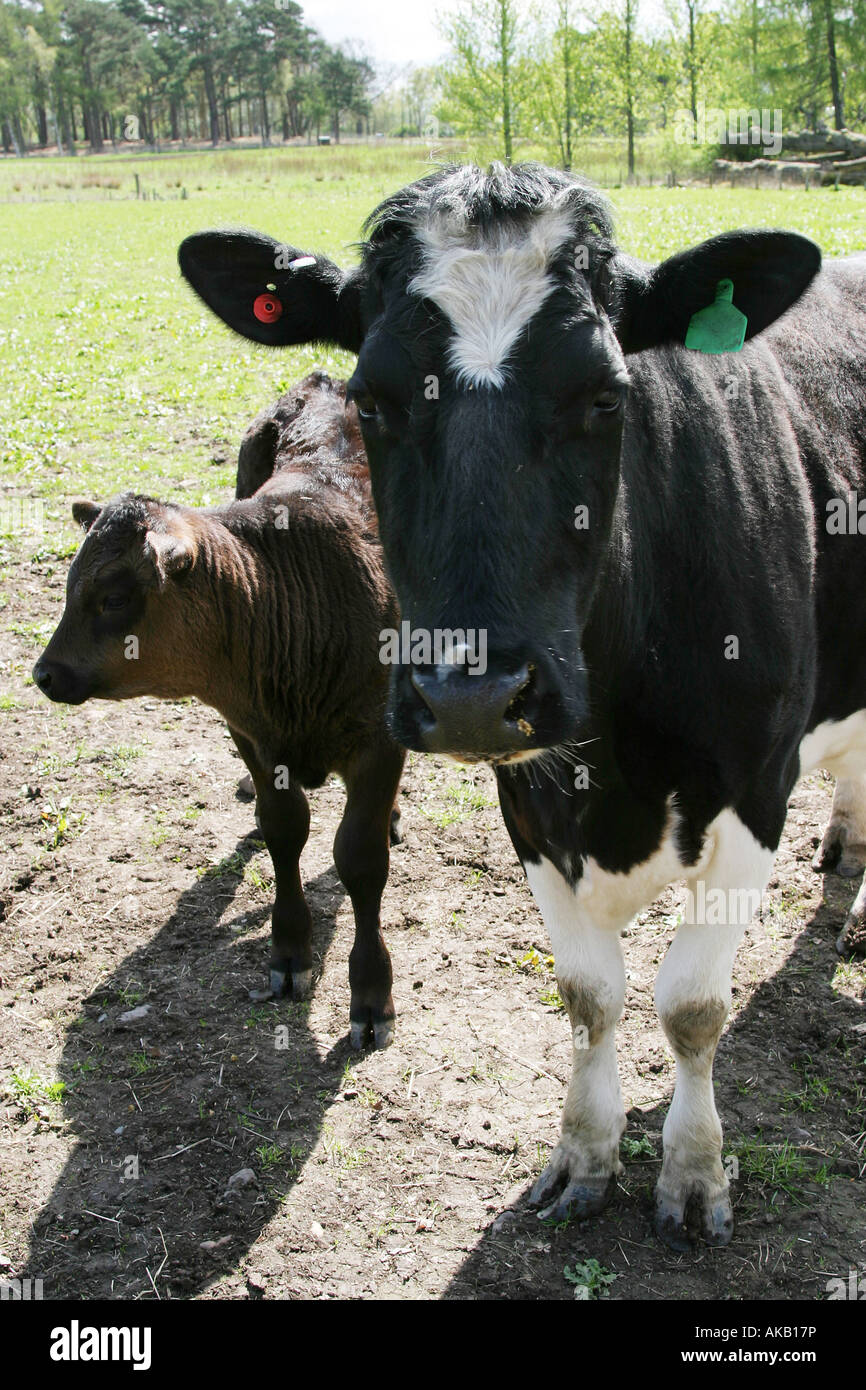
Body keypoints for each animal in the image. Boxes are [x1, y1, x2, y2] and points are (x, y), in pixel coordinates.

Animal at [33, 373, 405, 1049]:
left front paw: (370, 995)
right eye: (71, 585)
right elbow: (285, 829)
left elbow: (359, 859)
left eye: (115, 597)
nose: (44, 674)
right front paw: (289, 952)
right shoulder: (248, 731)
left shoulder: (377, 741)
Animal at [178, 162, 866, 1249]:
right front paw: (583, 1158)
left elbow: (691, 1005)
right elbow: (589, 995)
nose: (471, 693)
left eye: (603, 395)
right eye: (369, 399)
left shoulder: (757, 784)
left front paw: (692, 1175)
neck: (619, 766)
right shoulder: (528, 801)